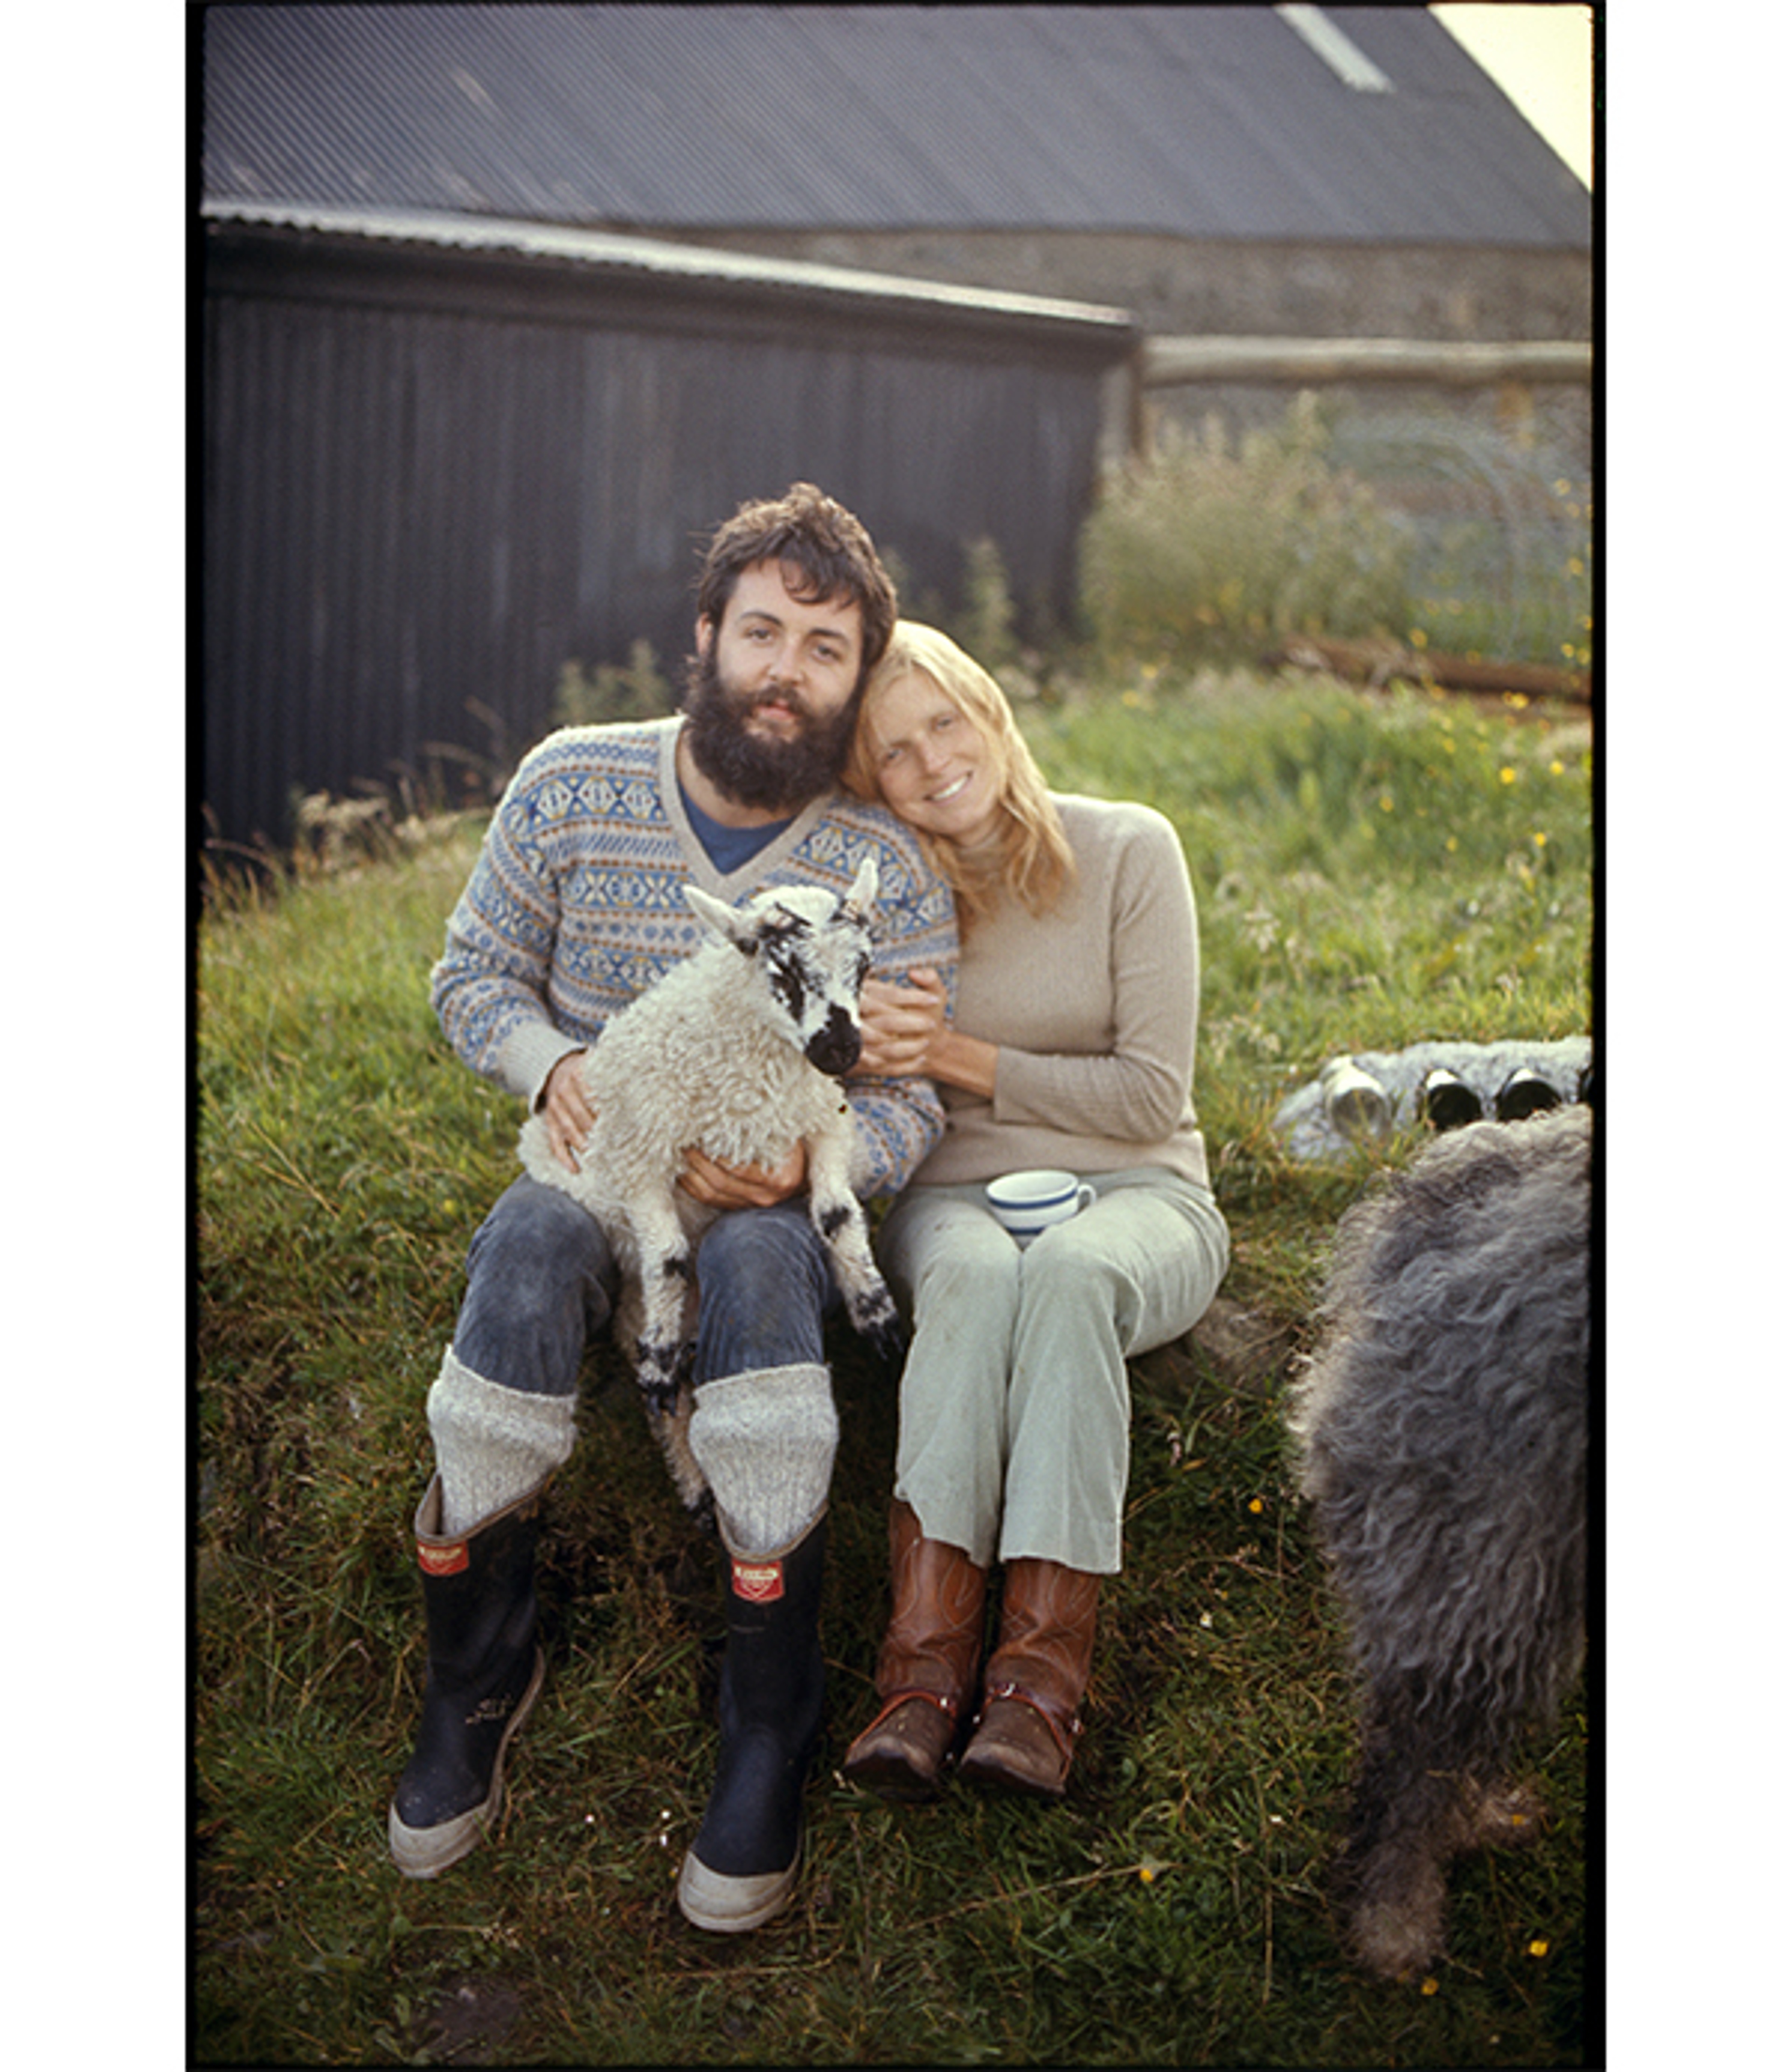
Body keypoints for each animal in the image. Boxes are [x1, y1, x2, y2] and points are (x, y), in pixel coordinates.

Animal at [518, 849, 908, 1516]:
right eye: (783, 969)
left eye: (865, 965)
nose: (841, 1050)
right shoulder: (639, 1156)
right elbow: (670, 1257)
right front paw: (658, 1364)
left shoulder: (825, 1123)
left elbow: (836, 1214)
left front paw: (875, 1311)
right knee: (668, 1381)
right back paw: (691, 1468)